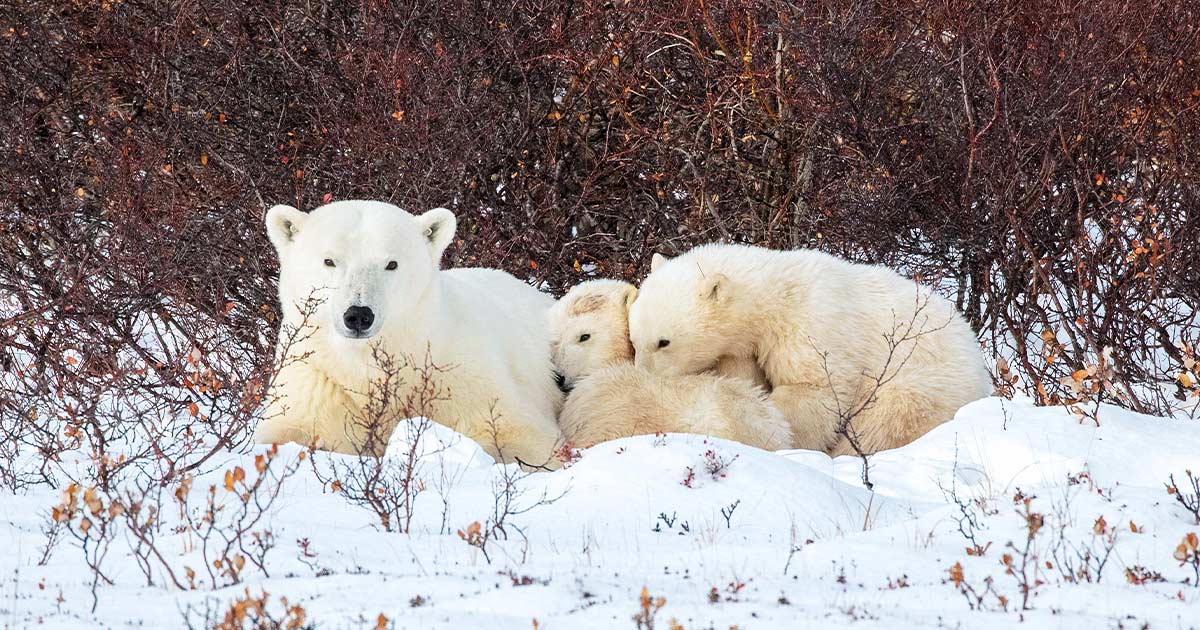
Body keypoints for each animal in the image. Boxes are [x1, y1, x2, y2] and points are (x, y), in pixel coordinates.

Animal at [254, 200, 565, 468]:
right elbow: (293, 428)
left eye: (391, 264)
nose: (358, 315)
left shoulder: (458, 375)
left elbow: (524, 436)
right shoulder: (316, 375)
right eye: (329, 261)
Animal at [628, 246, 993, 455]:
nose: (642, 376)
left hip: (922, 385)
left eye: (663, 341)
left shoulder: (813, 326)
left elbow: (812, 390)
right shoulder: (742, 348)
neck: (776, 297)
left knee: (884, 421)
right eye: (634, 338)